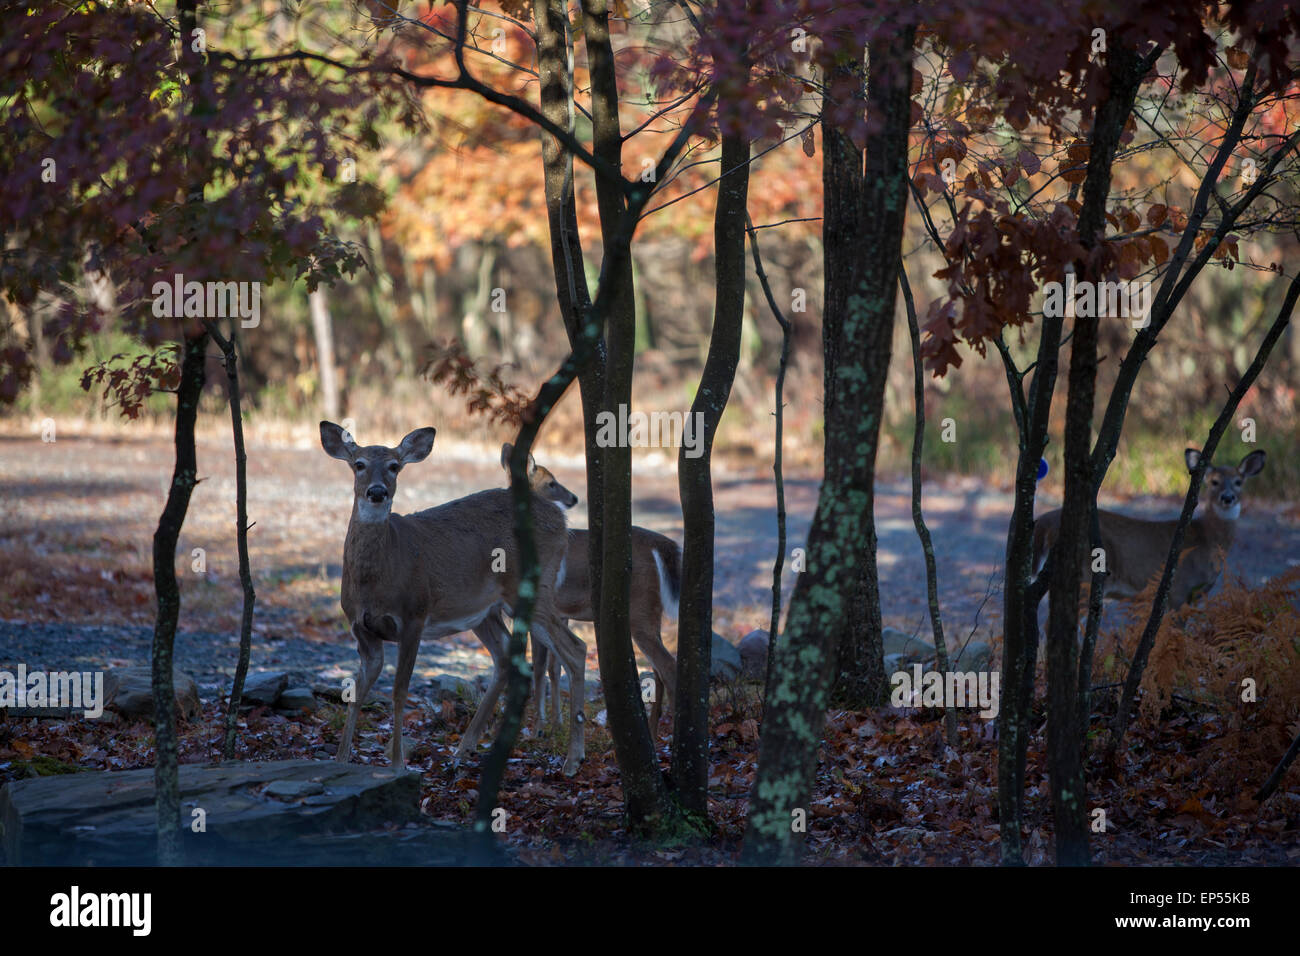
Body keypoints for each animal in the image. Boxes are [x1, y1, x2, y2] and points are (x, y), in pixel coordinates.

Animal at [319, 422, 589, 776]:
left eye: (394, 466)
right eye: (359, 464)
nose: (377, 492)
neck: (376, 578)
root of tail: (563, 523)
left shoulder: (414, 615)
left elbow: (399, 690)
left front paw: (398, 764)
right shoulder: (360, 627)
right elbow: (358, 690)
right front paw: (340, 760)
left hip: (531, 587)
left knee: (575, 647)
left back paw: (573, 759)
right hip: (484, 610)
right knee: (507, 654)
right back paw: (465, 748)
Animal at [496, 444, 680, 737]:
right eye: (551, 483)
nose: (573, 498)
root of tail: (660, 544)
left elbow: (539, 667)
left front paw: (539, 729)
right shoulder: (561, 612)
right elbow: (554, 667)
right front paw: (557, 723)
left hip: (641, 611)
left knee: (668, 668)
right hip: (649, 614)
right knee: (658, 672)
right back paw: (652, 731)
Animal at [1032, 448, 1266, 609]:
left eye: (1239, 482)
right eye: (1214, 482)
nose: (1227, 498)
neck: (1207, 538)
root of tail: (1044, 520)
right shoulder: (1179, 590)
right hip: (1084, 576)